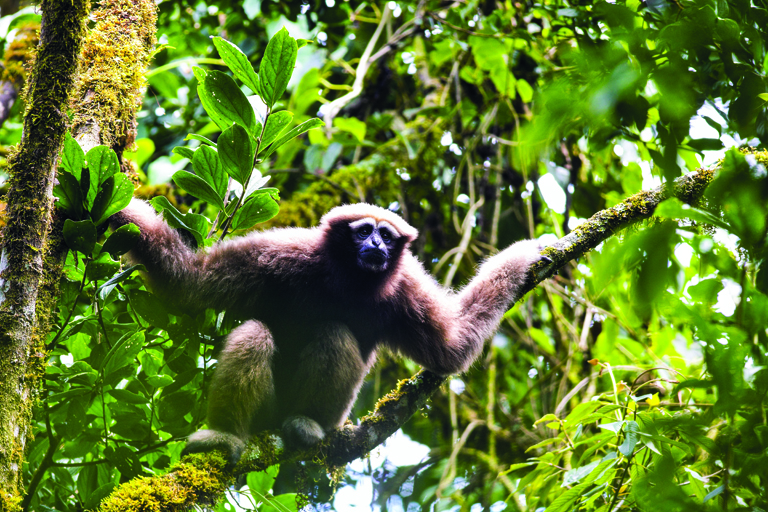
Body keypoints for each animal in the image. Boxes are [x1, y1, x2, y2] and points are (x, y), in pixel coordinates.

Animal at [110, 199, 545, 464]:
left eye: (386, 236)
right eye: (365, 231)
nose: (376, 244)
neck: (347, 280)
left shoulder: (405, 288)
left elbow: (450, 350)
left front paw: (525, 253)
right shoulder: (282, 252)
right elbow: (190, 284)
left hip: (335, 415)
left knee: (333, 331)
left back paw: (306, 423)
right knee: (256, 331)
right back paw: (226, 434)